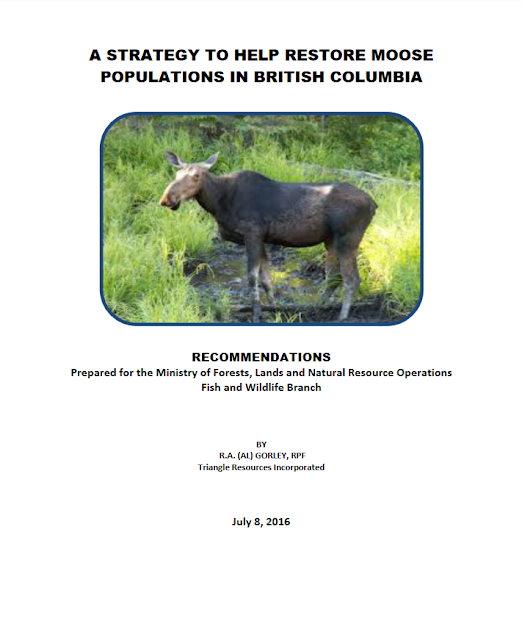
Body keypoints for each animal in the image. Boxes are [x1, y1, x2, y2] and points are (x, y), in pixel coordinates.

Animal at [159, 151, 376, 323]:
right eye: (176, 173)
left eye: (196, 175)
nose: (167, 199)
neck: (218, 204)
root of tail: (374, 204)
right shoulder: (262, 239)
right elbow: (266, 280)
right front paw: (276, 309)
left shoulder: (252, 233)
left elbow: (252, 277)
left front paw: (257, 314)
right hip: (330, 240)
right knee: (333, 278)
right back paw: (318, 308)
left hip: (348, 238)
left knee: (351, 279)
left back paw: (342, 317)